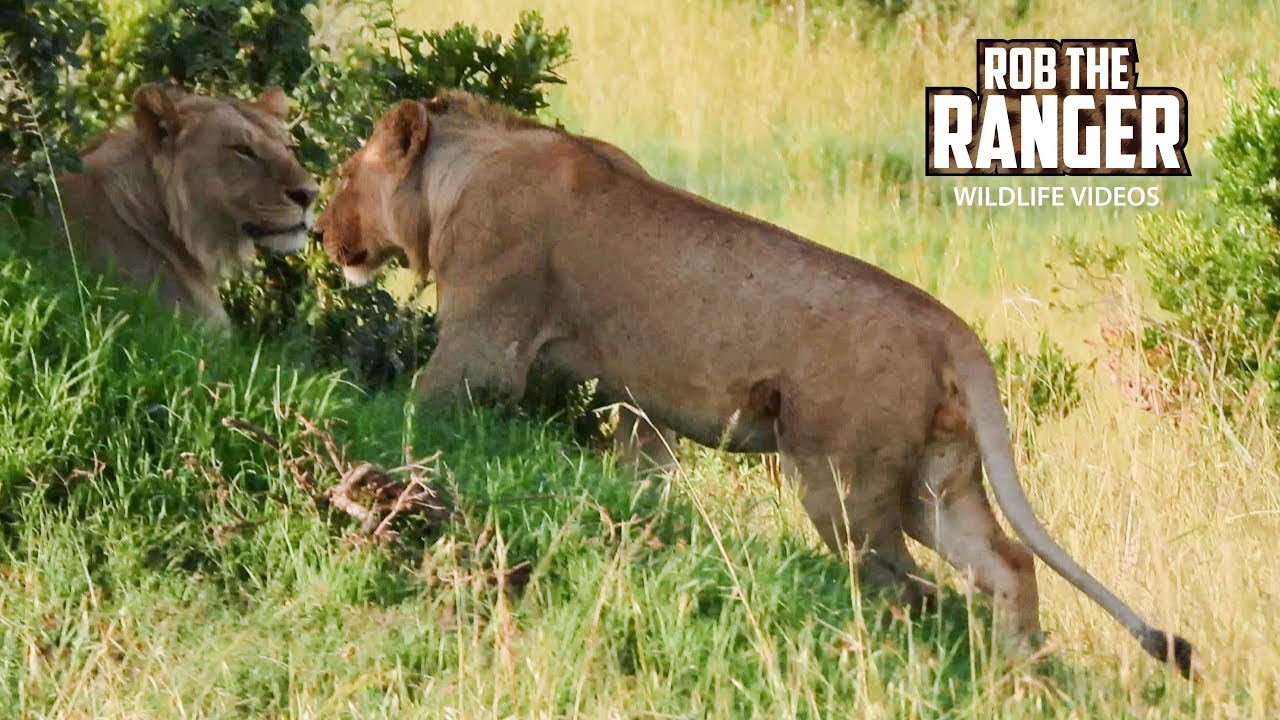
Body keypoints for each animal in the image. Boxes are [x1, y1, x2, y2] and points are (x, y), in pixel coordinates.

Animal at [313, 91, 1194, 677]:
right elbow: (645, 478)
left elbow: (421, 408)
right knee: (1006, 565)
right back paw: (1022, 679)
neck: (460, 175)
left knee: (913, 589)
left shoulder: (483, 346)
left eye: (344, 176)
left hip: (841, 485)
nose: (320, 231)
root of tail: (952, 324)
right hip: (933, 485)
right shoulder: (639, 405)